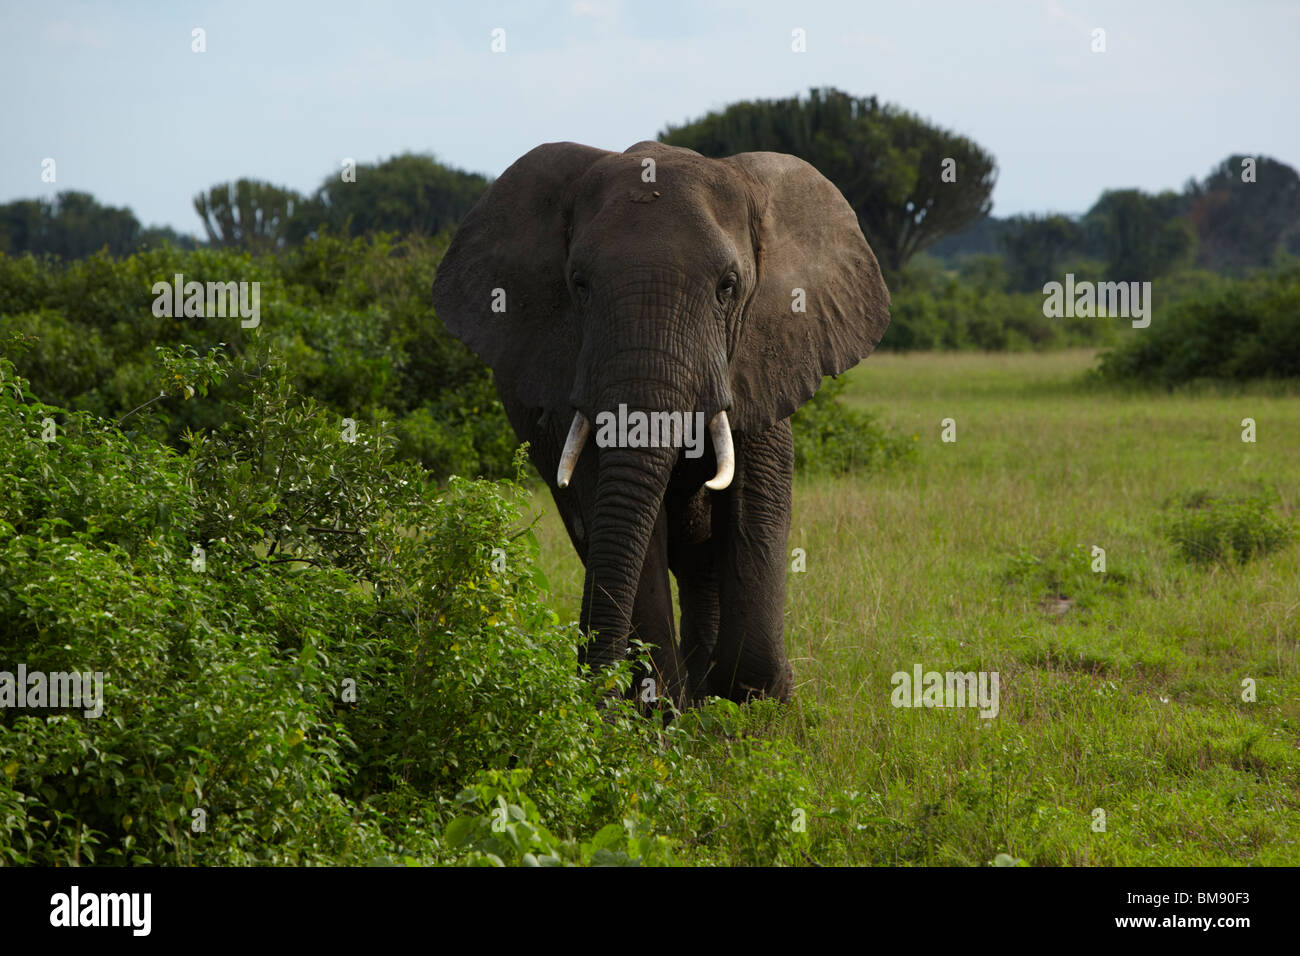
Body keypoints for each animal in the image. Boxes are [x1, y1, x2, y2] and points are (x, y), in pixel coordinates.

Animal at [432, 140, 890, 709]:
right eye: (579, 285)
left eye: (728, 287)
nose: (590, 692)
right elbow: (621, 512)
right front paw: (657, 711)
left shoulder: (766, 349)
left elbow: (756, 500)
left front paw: (759, 703)